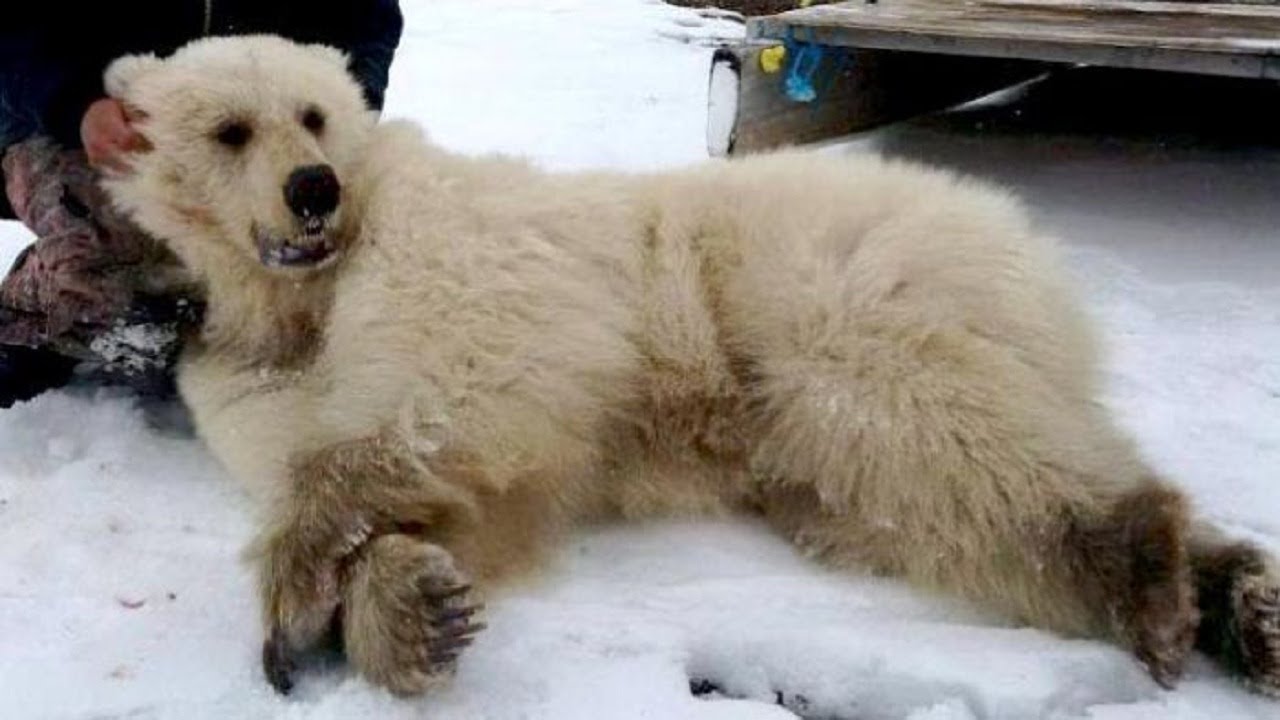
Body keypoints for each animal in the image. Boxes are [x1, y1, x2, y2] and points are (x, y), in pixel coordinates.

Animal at [99, 35, 1279, 698]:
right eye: (231, 128)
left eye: (315, 115)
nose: (314, 188)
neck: (305, 298)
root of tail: (1012, 232)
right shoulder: (243, 370)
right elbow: (387, 476)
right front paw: (405, 612)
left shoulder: (455, 250)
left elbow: (471, 397)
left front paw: (304, 580)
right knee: (903, 499)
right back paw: (1229, 600)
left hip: (819, 293)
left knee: (927, 436)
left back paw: (1152, 570)